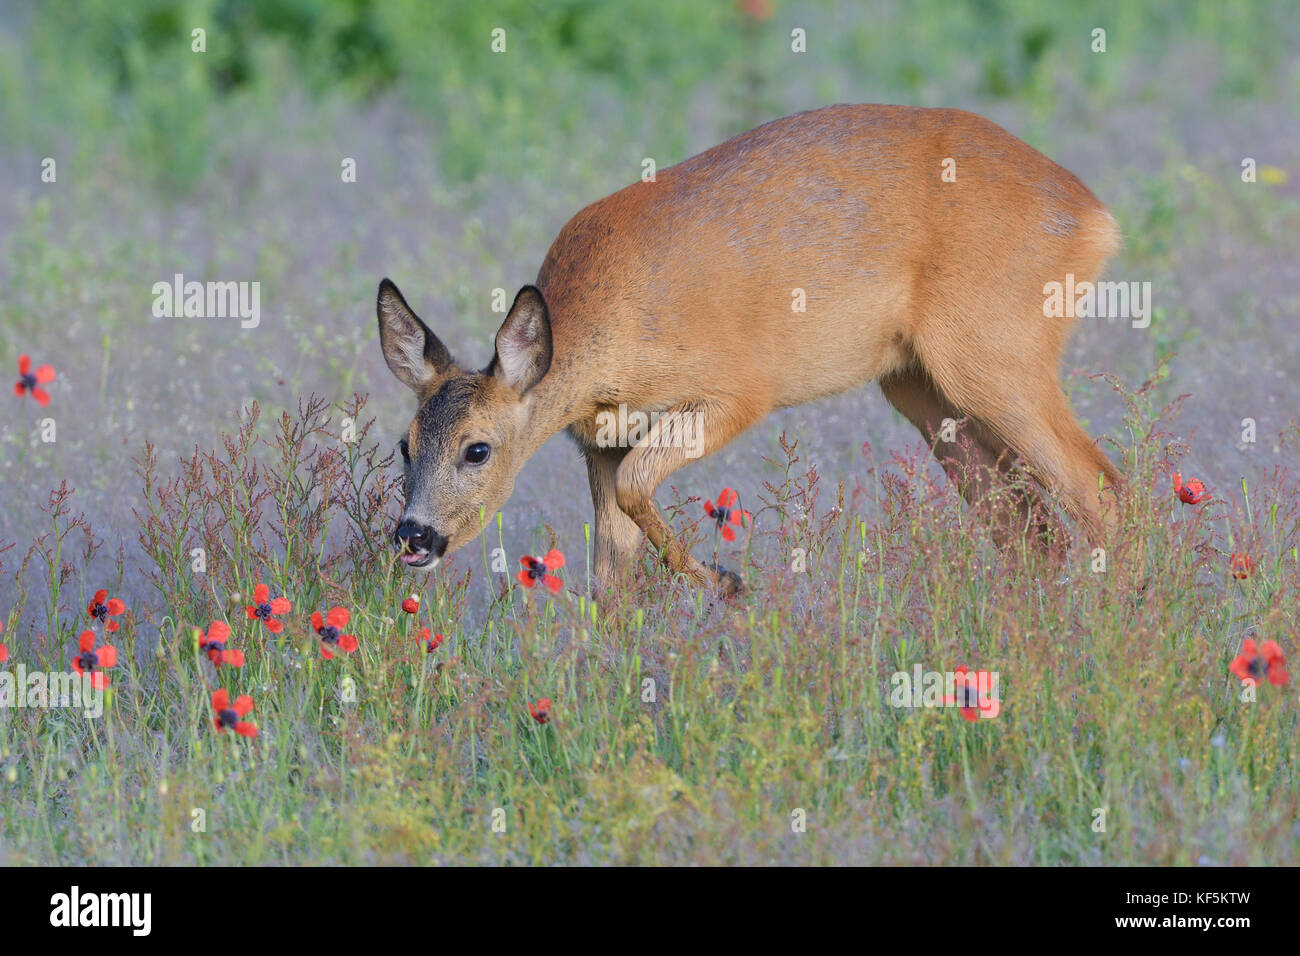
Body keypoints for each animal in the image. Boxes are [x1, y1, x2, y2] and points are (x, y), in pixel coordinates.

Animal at [377, 103, 1125, 596]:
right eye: (404, 446)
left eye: (478, 449)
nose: (414, 537)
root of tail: (1096, 218)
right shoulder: (601, 440)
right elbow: (609, 579)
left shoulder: (737, 387)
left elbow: (639, 484)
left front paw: (726, 582)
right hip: (922, 386)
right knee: (1029, 524)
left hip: (995, 352)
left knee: (1099, 487)